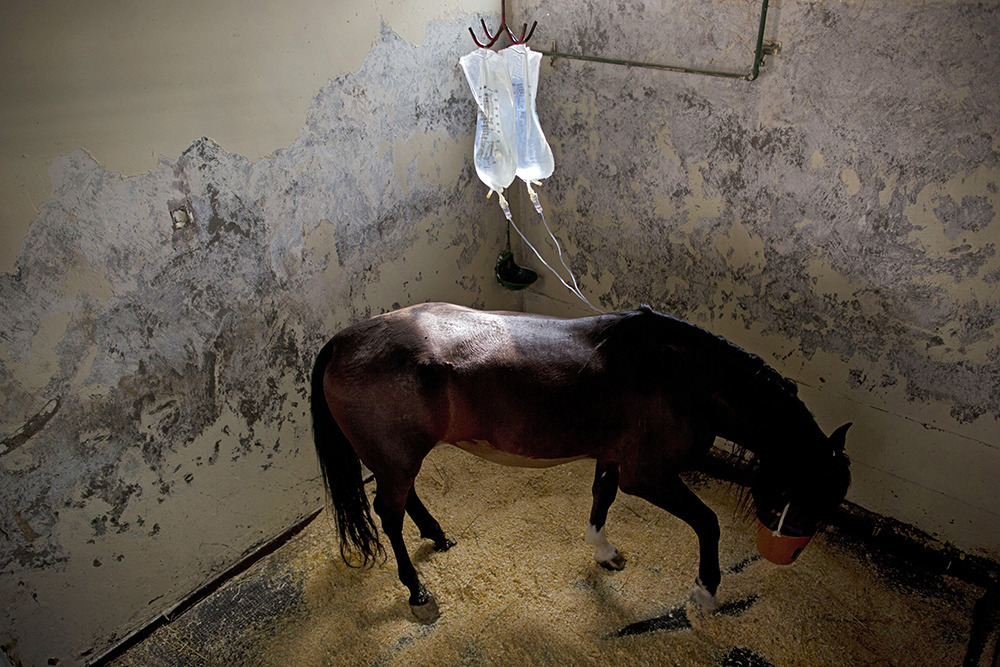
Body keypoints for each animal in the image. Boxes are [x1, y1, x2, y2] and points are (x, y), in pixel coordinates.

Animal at [310, 302, 851, 622]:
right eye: (800, 491)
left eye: (828, 499)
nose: (783, 553)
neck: (679, 375)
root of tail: (341, 342)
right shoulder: (648, 476)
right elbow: (707, 522)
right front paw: (705, 592)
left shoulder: (612, 456)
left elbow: (602, 498)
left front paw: (604, 552)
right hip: (397, 459)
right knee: (389, 514)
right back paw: (417, 592)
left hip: (398, 458)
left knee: (405, 500)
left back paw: (438, 536)